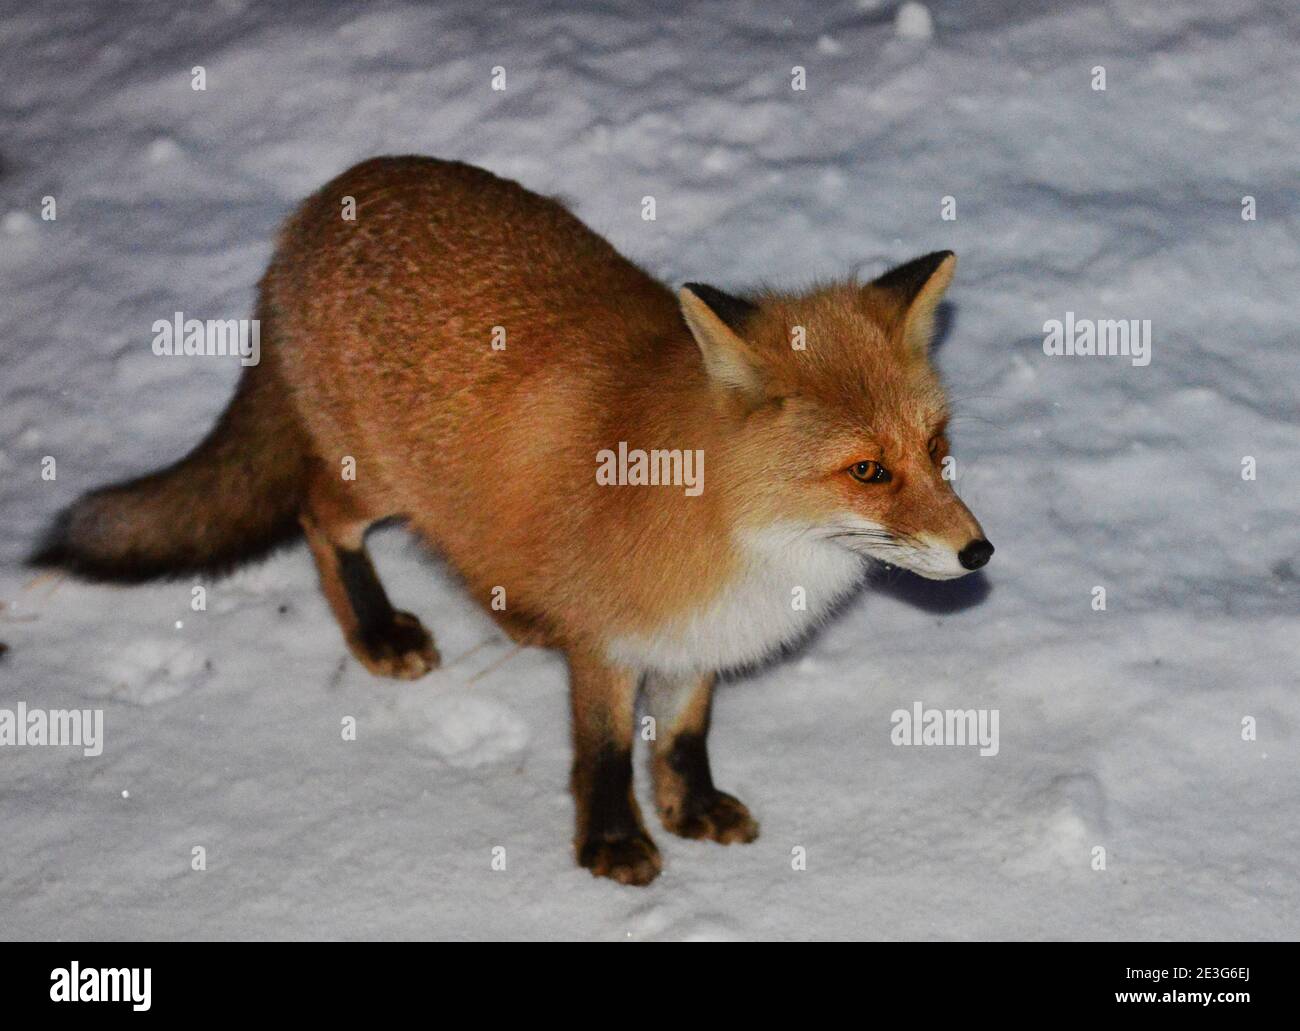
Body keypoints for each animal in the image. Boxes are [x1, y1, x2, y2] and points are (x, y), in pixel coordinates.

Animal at [32, 156, 992, 886]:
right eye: (868, 471)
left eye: (937, 446)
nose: (979, 552)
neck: (737, 528)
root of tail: (328, 194)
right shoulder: (608, 642)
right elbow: (605, 752)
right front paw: (612, 844)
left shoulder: (695, 643)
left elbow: (683, 737)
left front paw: (688, 809)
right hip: (378, 480)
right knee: (317, 515)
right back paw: (377, 630)